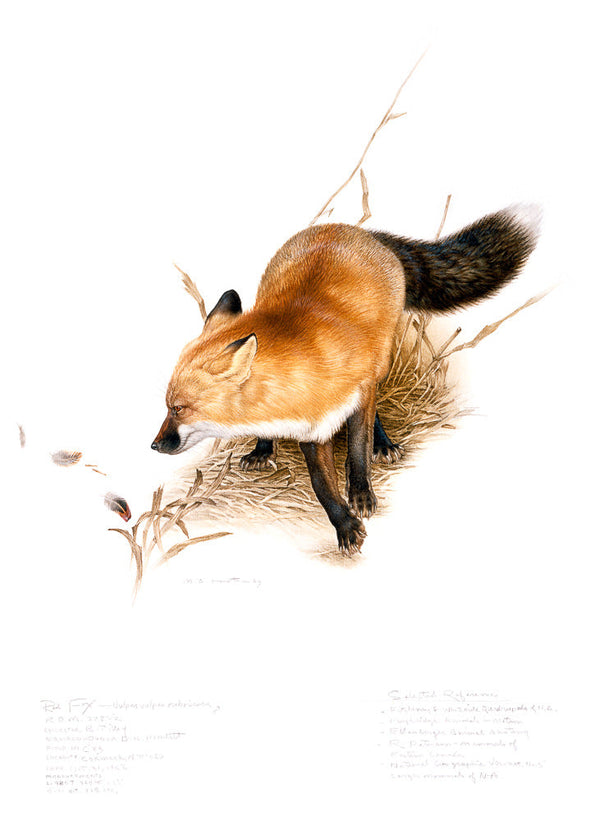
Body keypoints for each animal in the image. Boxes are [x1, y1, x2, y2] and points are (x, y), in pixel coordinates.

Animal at [152, 204, 540, 552]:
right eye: (168, 407)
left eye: (179, 408)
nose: (154, 446)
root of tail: (355, 231)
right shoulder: (310, 427)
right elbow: (322, 485)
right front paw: (344, 525)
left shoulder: (356, 396)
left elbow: (357, 452)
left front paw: (362, 494)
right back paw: (263, 449)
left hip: (381, 360)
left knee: (375, 411)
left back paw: (383, 444)